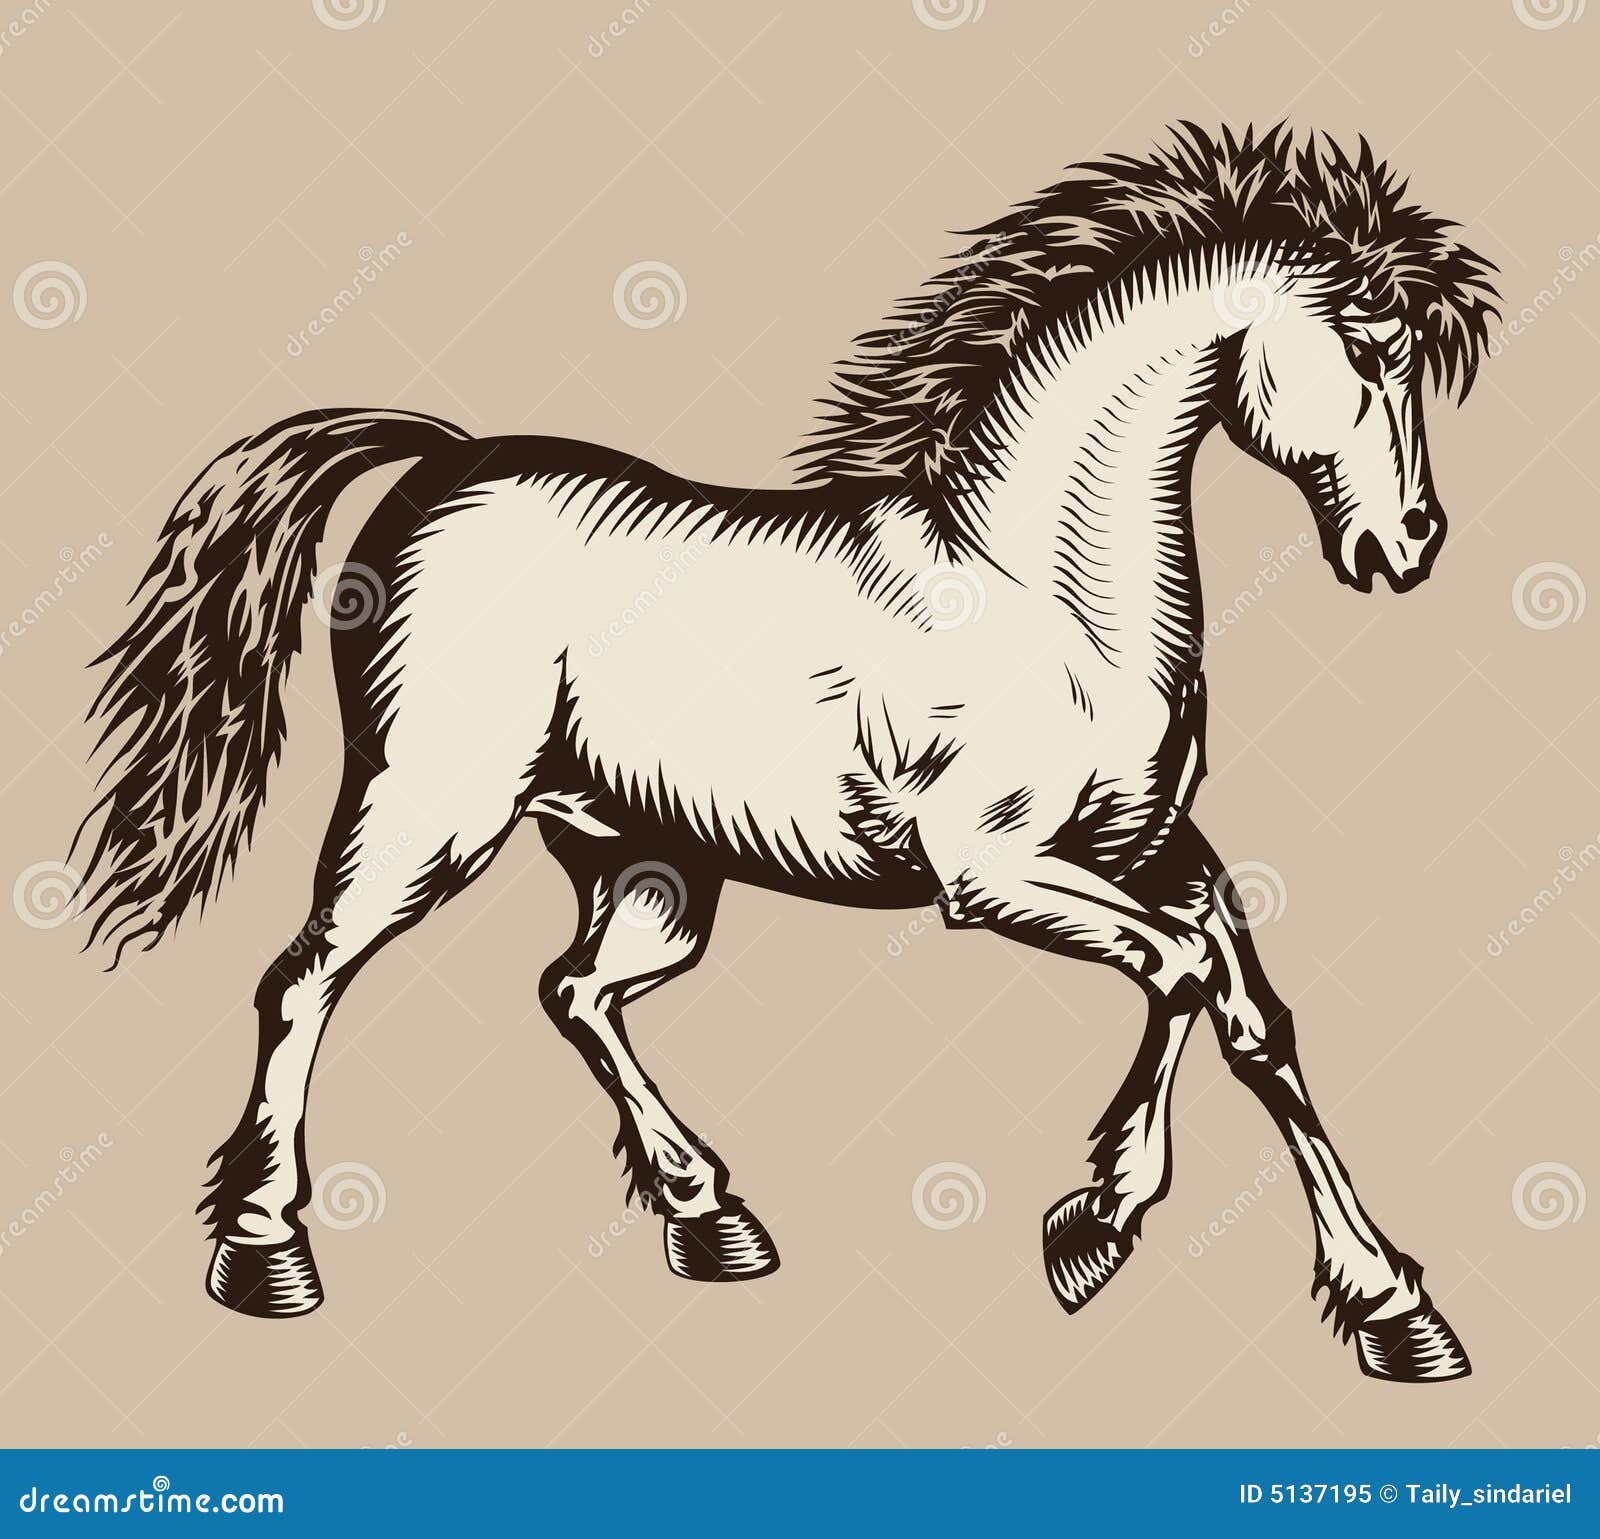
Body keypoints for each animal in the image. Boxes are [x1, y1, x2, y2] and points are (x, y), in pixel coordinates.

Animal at [74, 124, 1497, 1383]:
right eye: (1366, 350)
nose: (1410, 544)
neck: (1044, 593)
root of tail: (447, 460)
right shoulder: (993, 872)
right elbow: (1181, 974)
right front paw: (1091, 1228)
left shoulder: (1151, 848)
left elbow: (1252, 1017)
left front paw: (1394, 1313)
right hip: (428, 814)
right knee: (304, 979)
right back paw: (265, 1254)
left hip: (646, 866)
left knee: (574, 990)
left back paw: (712, 1222)